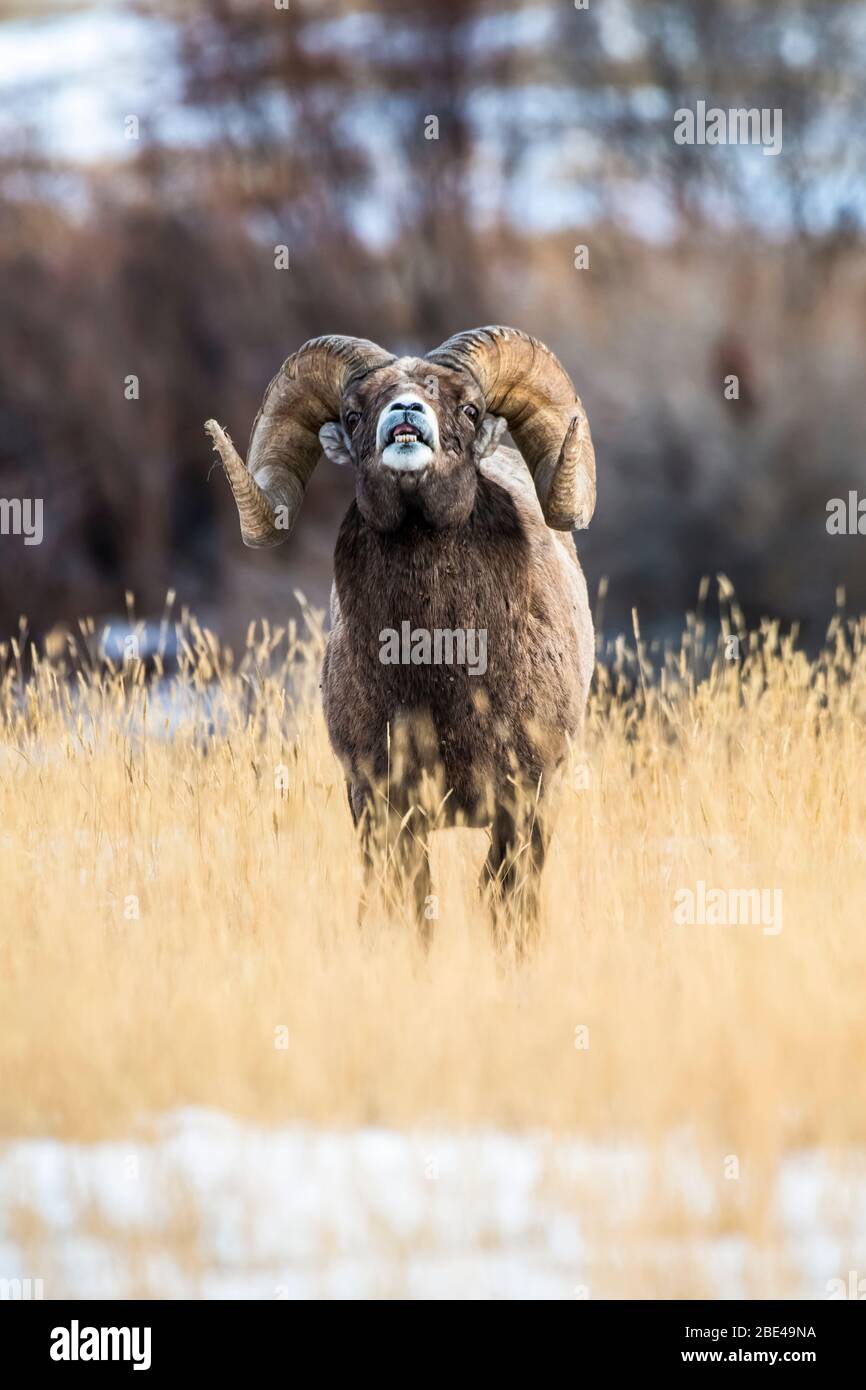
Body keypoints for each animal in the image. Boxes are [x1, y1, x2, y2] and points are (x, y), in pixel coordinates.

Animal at [205, 327, 596, 926]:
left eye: (469, 407)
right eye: (353, 413)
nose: (405, 414)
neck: (437, 665)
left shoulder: (525, 800)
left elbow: (506, 900)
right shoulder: (381, 807)